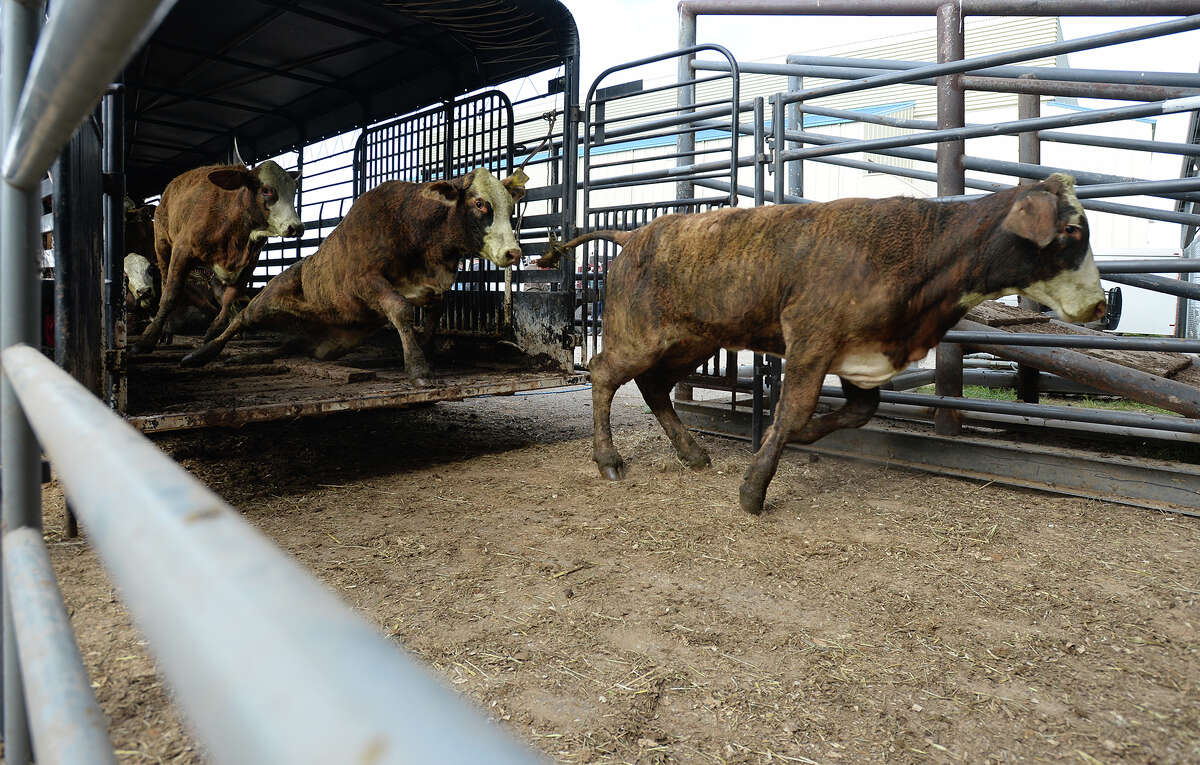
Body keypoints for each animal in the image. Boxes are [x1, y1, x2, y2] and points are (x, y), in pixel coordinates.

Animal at [134, 160, 303, 352]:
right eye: (266, 190)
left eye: (294, 190)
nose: (296, 227)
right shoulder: (181, 251)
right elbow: (170, 294)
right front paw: (148, 338)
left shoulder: (249, 265)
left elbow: (230, 298)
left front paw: (214, 331)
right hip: (162, 245)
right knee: (164, 282)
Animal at [178, 167, 528, 376]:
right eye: (481, 204)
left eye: (511, 207)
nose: (513, 252)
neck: (414, 228)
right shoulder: (365, 282)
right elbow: (400, 309)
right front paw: (418, 369)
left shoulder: (432, 289)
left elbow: (434, 316)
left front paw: (427, 354)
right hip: (270, 299)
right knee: (242, 317)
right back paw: (202, 353)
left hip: (330, 342)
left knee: (292, 345)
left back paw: (247, 358)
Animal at [545, 173, 1105, 515]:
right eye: (1072, 230)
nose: (1100, 306)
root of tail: (636, 235)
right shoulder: (810, 338)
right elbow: (794, 411)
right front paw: (753, 488)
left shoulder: (859, 358)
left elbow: (853, 412)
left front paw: (791, 442)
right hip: (640, 333)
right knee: (604, 372)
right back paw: (609, 460)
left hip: (691, 339)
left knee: (654, 386)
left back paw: (692, 453)